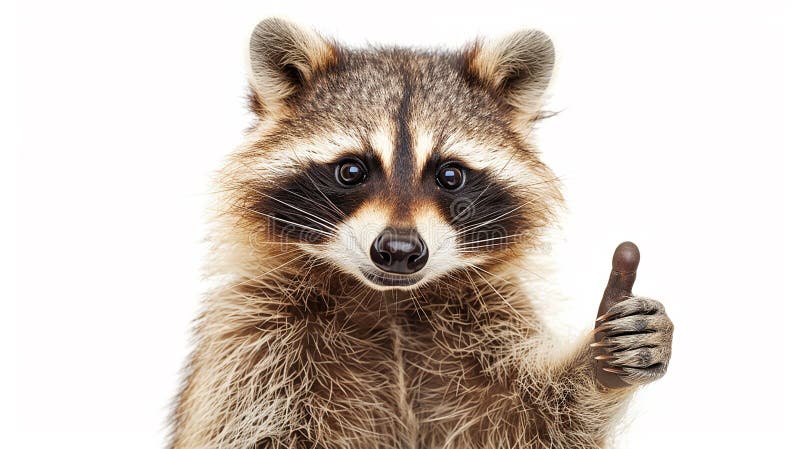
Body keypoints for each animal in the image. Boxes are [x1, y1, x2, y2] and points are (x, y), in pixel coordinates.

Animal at [170, 18, 674, 449]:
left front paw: (598, 368)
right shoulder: (252, 336)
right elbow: (247, 425)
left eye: (450, 176)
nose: (398, 250)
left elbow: (539, 421)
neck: (389, 300)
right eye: (351, 171)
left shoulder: (490, 321)